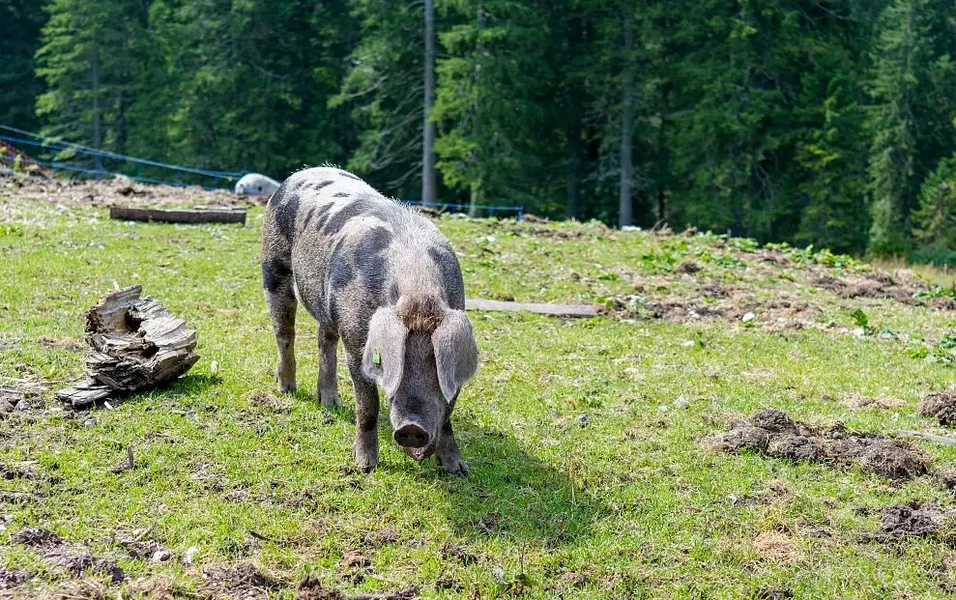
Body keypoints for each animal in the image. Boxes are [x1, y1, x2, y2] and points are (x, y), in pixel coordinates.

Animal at [260, 167, 479, 476]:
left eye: (438, 365)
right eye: (391, 362)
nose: (412, 428)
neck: (418, 292)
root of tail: (299, 174)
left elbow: (447, 417)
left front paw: (459, 470)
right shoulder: (355, 342)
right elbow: (368, 405)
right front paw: (365, 466)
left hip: (328, 307)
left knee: (324, 340)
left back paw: (331, 404)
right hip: (273, 269)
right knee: (285, 333)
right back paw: (287, 389)